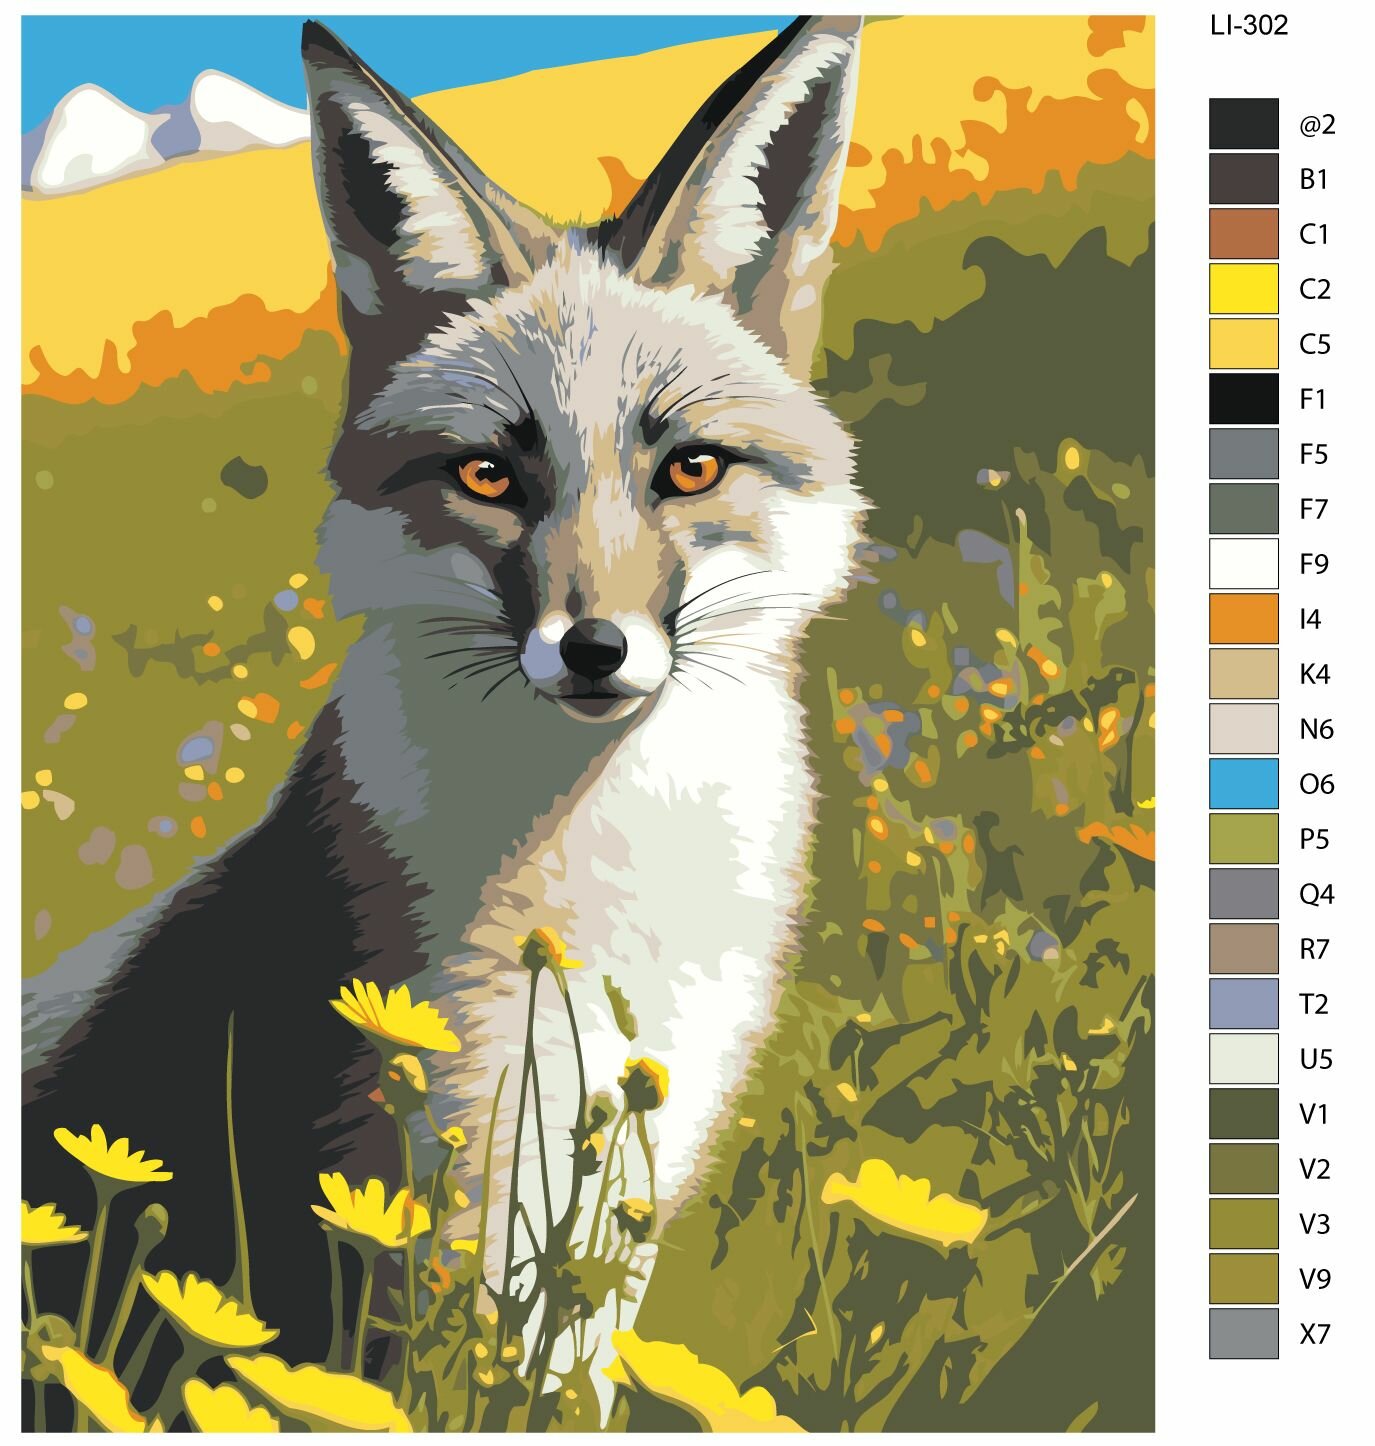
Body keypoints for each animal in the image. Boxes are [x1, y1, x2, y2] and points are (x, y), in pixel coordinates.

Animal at [23, 13, 867, 1400]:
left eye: (689, 467)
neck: (602, 890)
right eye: (487, 476)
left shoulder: (615, 1168)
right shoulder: (436, 1181)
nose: (593, 650)